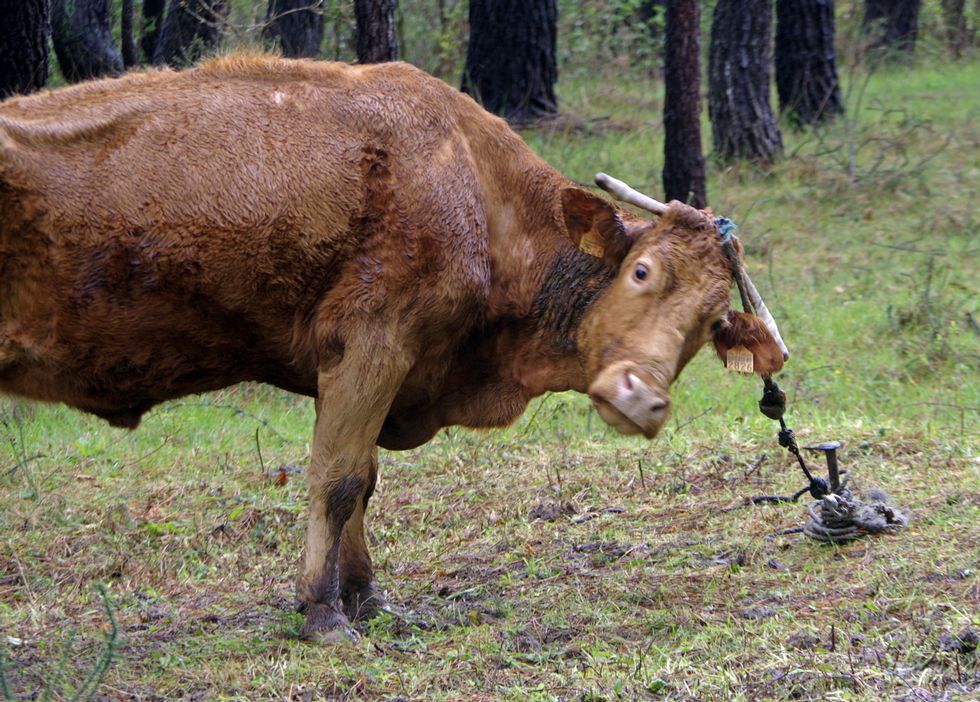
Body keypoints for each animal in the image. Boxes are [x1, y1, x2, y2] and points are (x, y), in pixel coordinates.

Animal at [0, 55, 785, 643]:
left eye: (712, 322)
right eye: (642, 271)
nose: (643, 399)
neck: (479, 195)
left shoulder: (369, 369)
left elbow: (364, 479)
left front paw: (366, 598)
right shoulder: (374, 343)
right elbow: (339, 477)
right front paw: (322, 613)